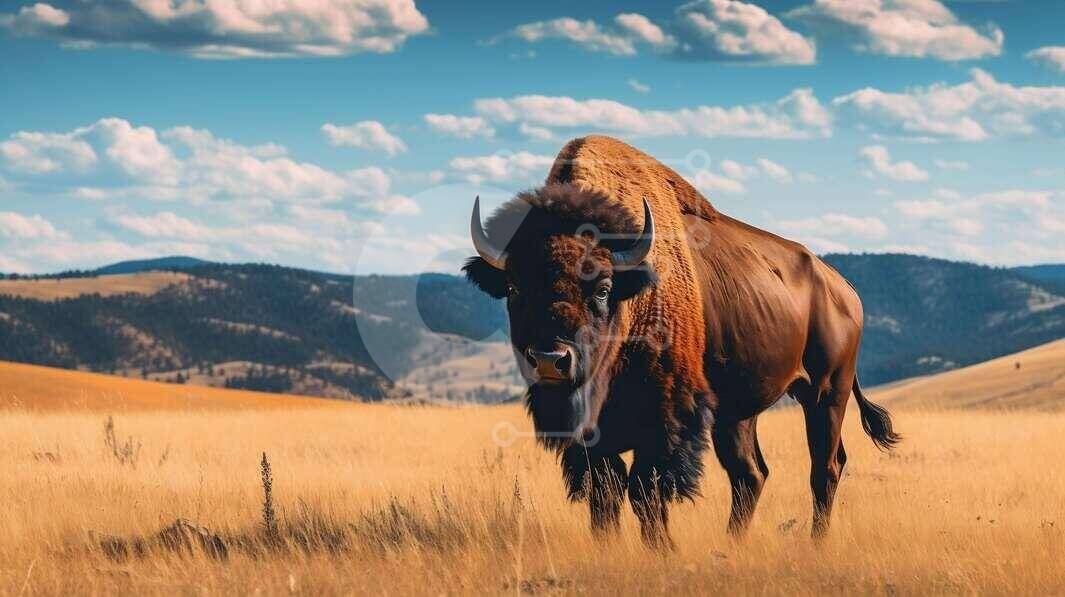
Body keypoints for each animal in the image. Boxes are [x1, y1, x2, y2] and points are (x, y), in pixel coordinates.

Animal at [464, 136, 899, 548]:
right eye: (513, 287)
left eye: (603, 288)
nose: (550, 360)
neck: (635, 293)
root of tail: (845, 291)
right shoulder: (591, 434)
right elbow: (605, 491)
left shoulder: (666, 416)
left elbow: (645, 488)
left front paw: (663, 548)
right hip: (737, 413)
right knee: (751, 473)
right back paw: (733, 542)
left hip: (826, 393)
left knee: (824, 468)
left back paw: (814, 543)